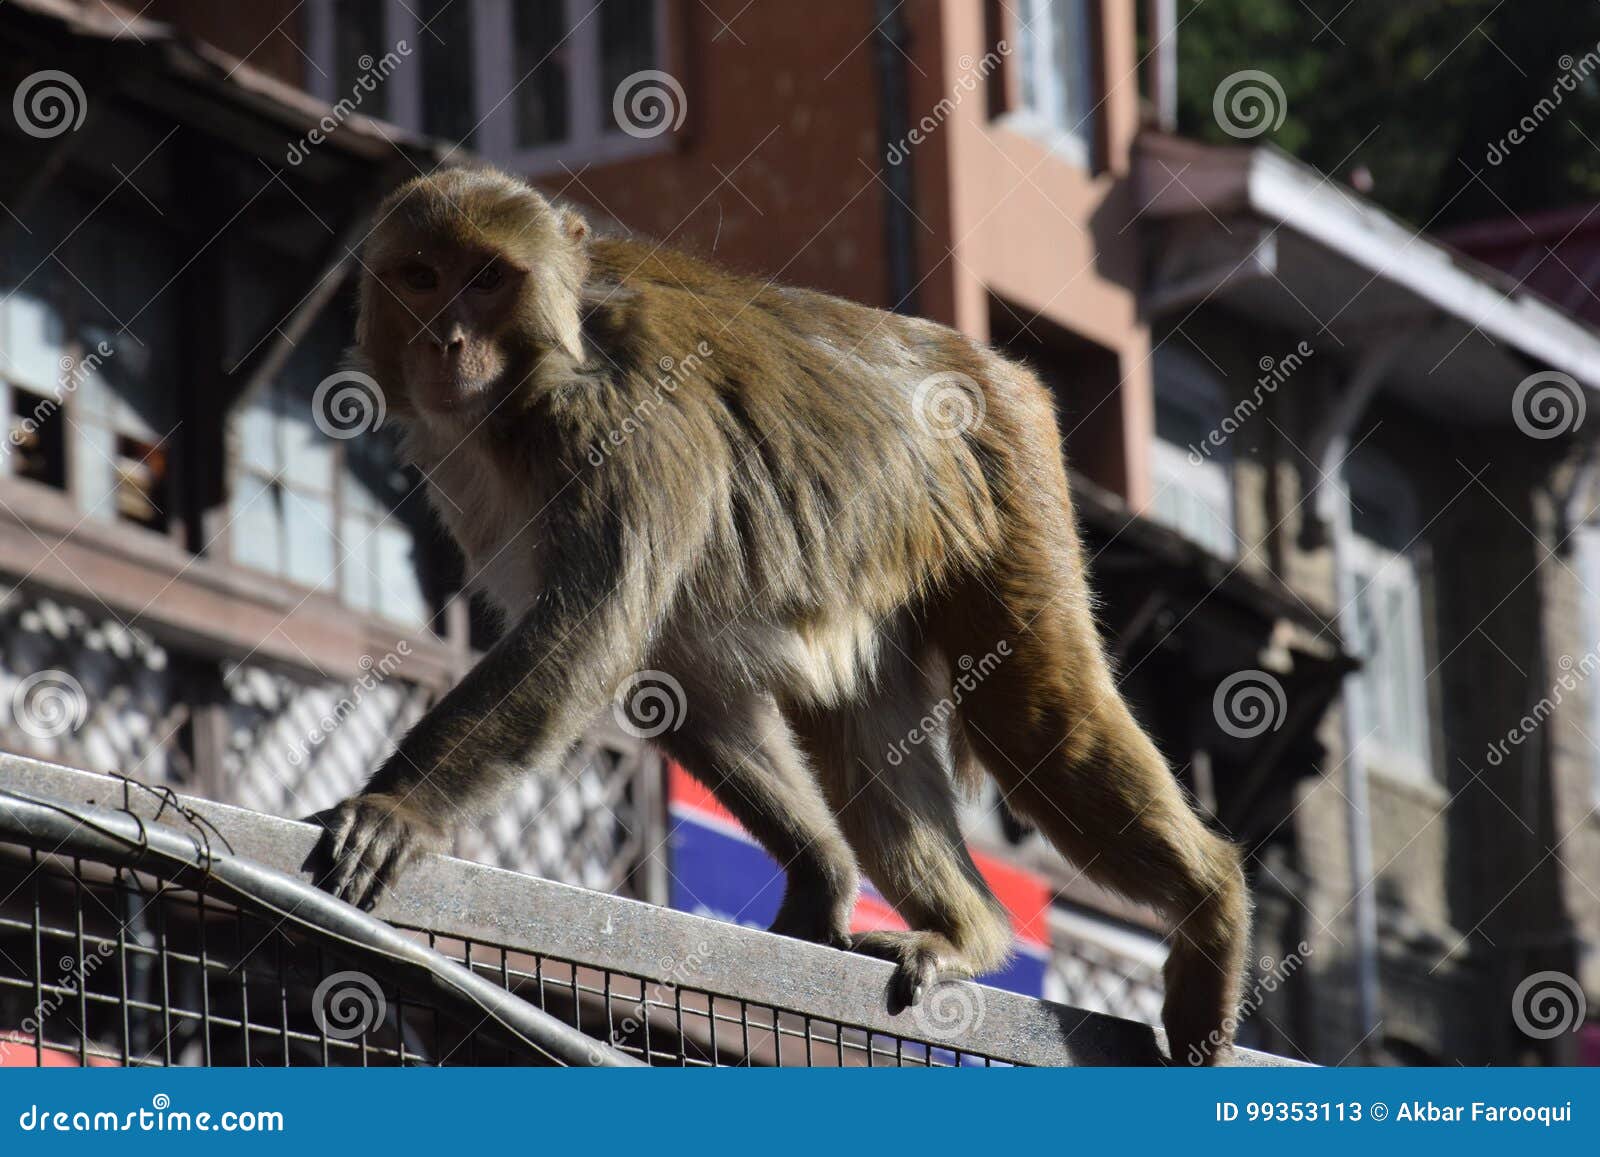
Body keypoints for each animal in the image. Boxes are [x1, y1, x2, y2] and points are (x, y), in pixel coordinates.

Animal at [313, 165, 1251, 1065]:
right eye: (424, 277)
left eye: (487, 279)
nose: (447, 339)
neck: (528, 389)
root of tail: (992, 364)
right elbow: (677, 676)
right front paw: (824, 876)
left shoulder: (625, 421)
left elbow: (587, 635)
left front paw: (397, 809)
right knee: (865, 730)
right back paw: (966, 930)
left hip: (1008, 475)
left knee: (1034, 716)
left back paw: (1210, 903)